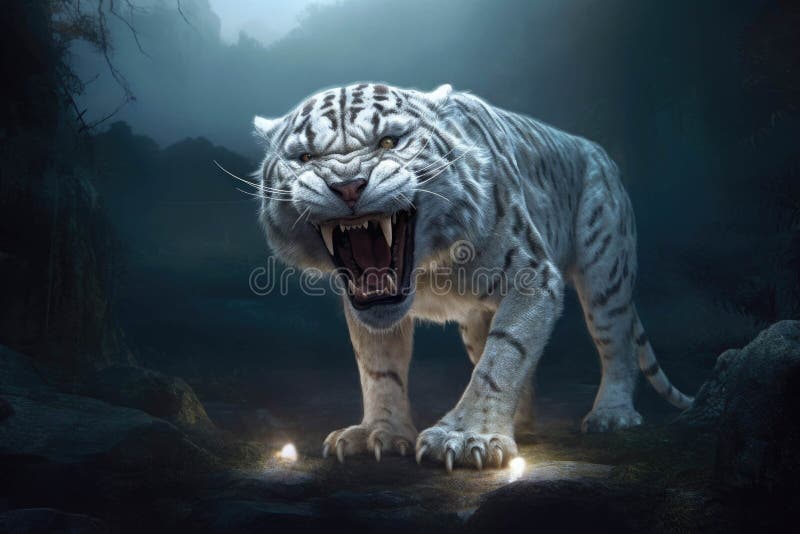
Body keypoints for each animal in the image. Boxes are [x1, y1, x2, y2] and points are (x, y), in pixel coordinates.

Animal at [251, 82, 693, 472]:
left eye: (390, 142)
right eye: (305, 157)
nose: (347, 186)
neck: (428, 269)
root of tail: (598, 151)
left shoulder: (533, 277)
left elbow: (502, 358)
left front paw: (464, 439)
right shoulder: (367, 307)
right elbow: (379, 369)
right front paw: (379, 433)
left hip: (605, 274)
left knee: (615, 343)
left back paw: (611, 415)